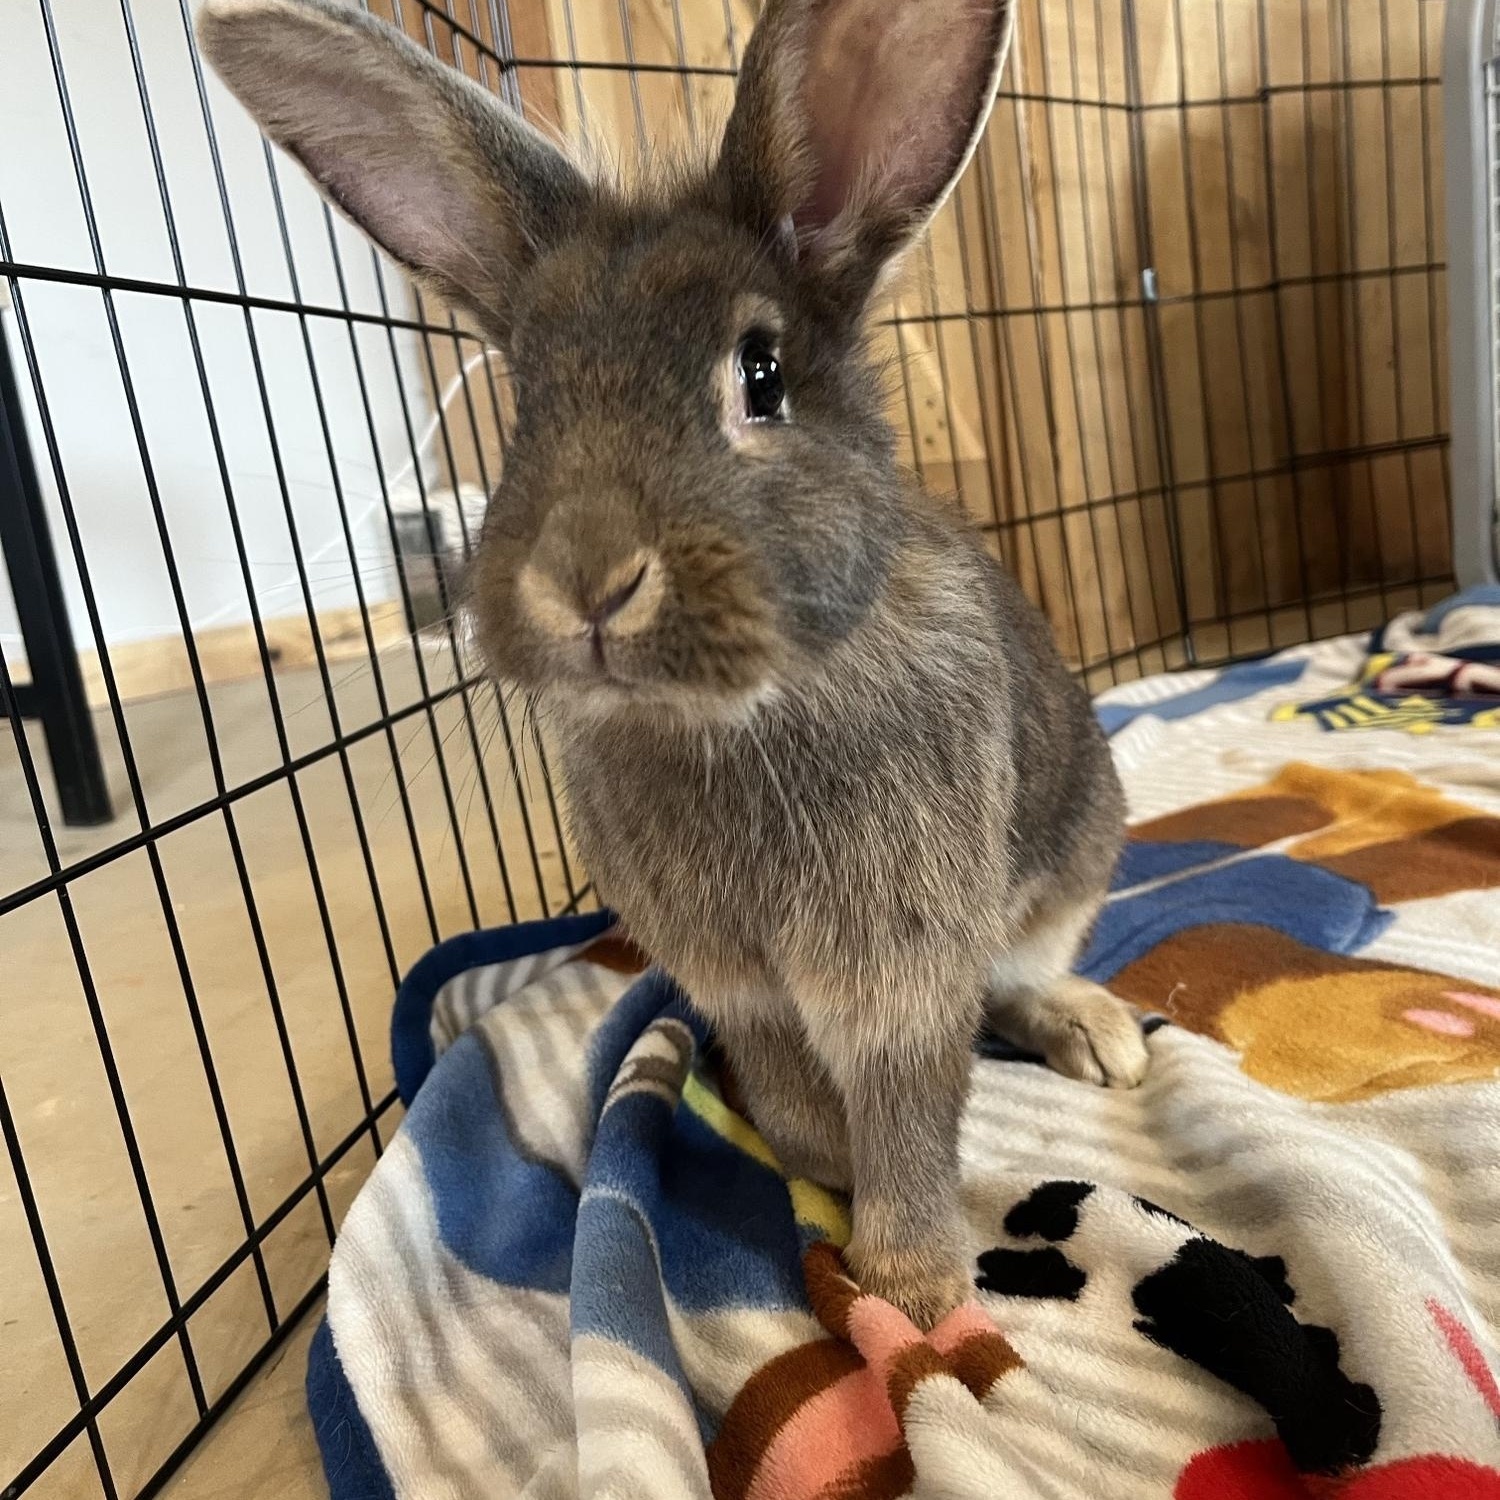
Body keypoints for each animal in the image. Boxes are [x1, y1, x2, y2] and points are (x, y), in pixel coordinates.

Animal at [200, 0, 1150, 1330]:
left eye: (762, 374)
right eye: (527, 398)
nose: (587, 580)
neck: (725, 713)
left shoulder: (897, 968)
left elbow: (910, 1112)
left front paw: (911, 1294)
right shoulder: (738, 983)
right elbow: (799, 1097)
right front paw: (816, 1184)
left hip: (1072, 858)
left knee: (1022, 977)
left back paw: (1097, 1035)